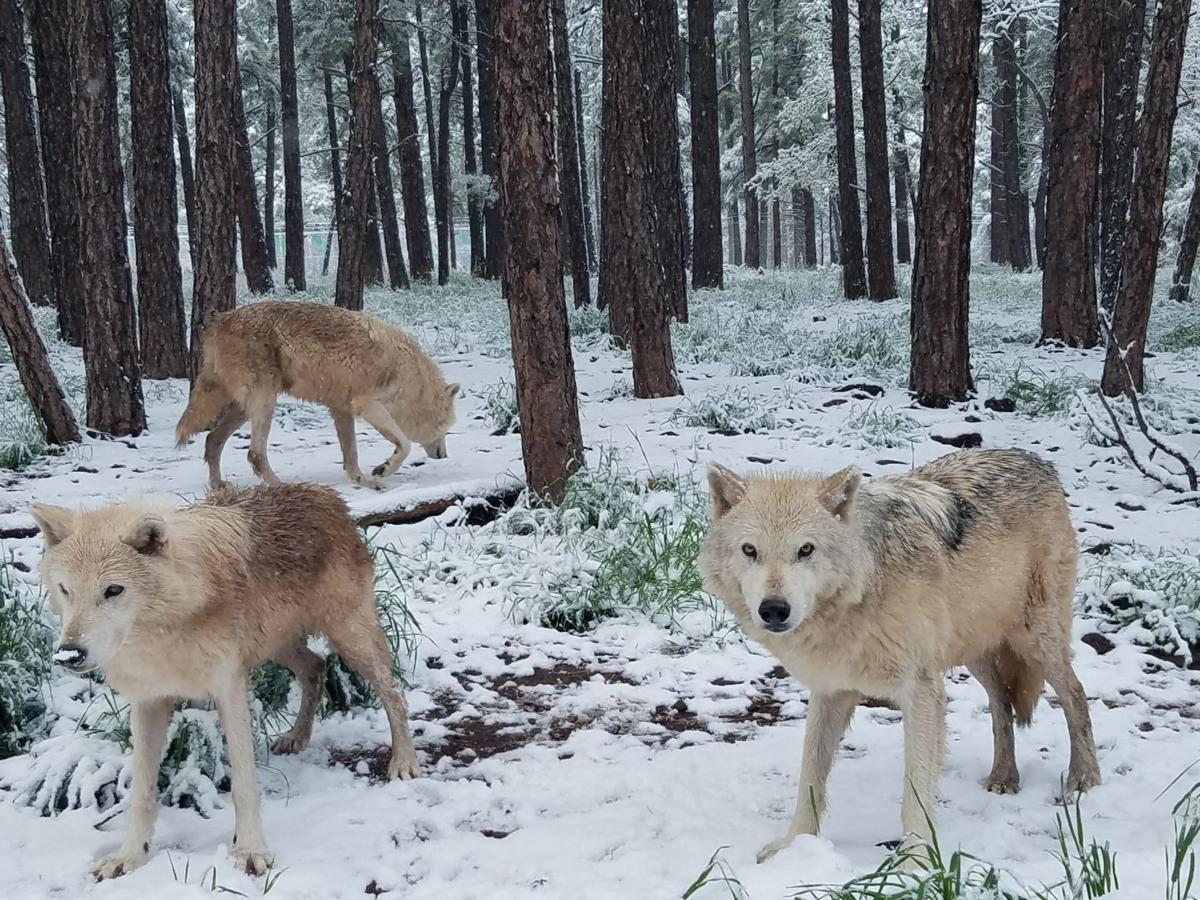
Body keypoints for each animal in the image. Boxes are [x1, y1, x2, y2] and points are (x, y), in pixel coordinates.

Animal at [31, 483, 419, 880]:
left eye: (113, 590)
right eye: (65, 590)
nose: (69, 654)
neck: (164, 629)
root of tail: (326, 494)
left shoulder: (229, 689)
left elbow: (243, 785)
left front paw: (250, 851)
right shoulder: (148, 701)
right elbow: (141, 792)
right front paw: (129, 856)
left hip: (350, 639)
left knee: (393, 692)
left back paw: (404, 761)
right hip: (278, 645)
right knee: (316, 667)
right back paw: (297, 736)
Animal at [175, 301, 460, 491]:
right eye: (446, 428)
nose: (444, 455)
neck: (415, 380)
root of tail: (218, 322)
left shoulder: (342, 410)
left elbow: (351, 456)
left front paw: (364, 481)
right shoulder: (367, 405)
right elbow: (405, 445)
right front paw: (383, 469)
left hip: (244, 409)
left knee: (212, 440)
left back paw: (218, 487)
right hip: (264, 402)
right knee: (254, 453)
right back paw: (281, 486)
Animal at [698, 449, 1100, 863]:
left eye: (805, 550)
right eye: (750, 550)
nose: (774, 609)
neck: (858, 598)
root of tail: (1035, 460)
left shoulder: (921, 690)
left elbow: (916, 788)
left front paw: (915, 862)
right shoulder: (830, 691)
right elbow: (810, 777)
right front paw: (794, 846)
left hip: (1034, 641)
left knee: (1075, 694)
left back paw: (1083, 778)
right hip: (974, 652)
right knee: (1001, 704)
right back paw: (1004, 777)